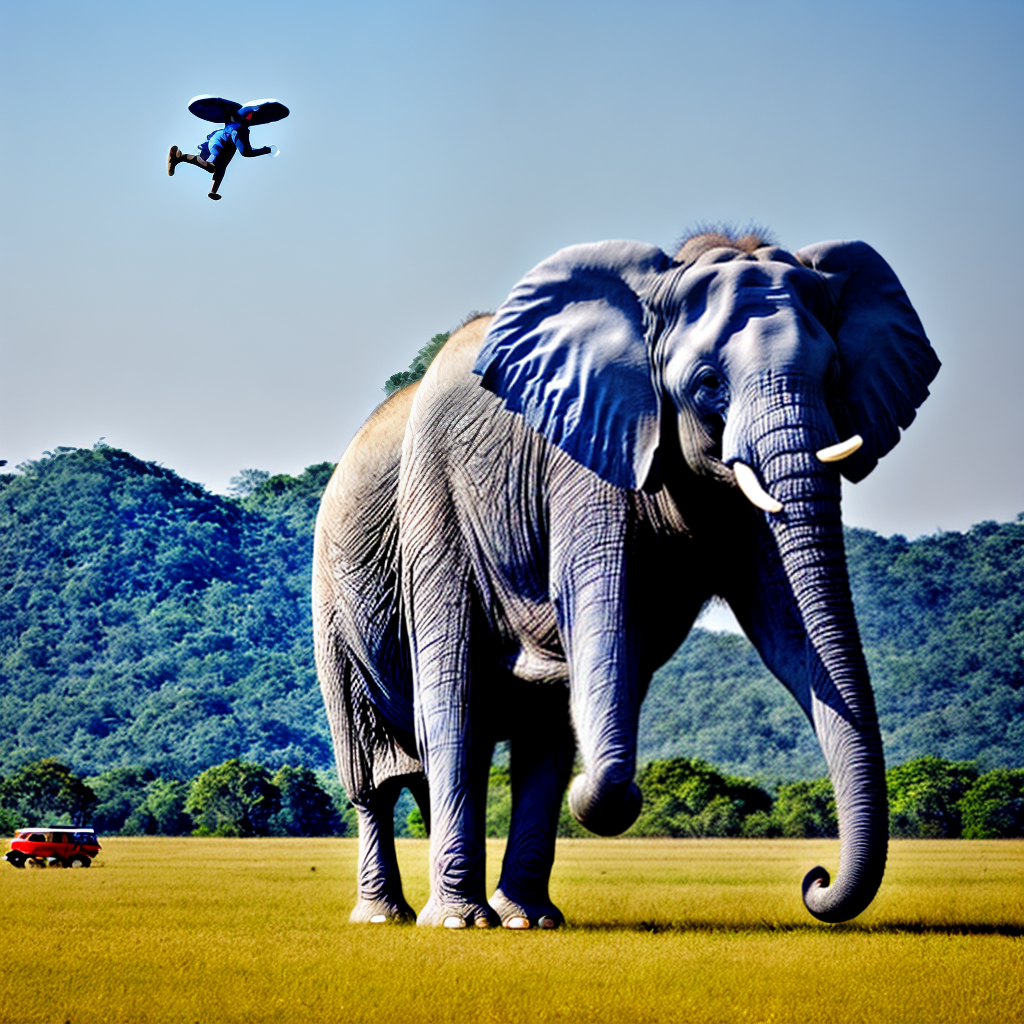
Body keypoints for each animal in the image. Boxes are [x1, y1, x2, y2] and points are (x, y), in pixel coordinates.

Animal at [313, 229, 939, 929]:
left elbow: (788, 636)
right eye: (707, 384)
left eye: (833, 378)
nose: (815, 878)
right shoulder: (584, 459)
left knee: (519, 741)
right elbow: (600, 613)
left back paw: (524, 918)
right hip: (400, 539)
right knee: (414, 742)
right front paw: (599, 786)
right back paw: (421, 919)